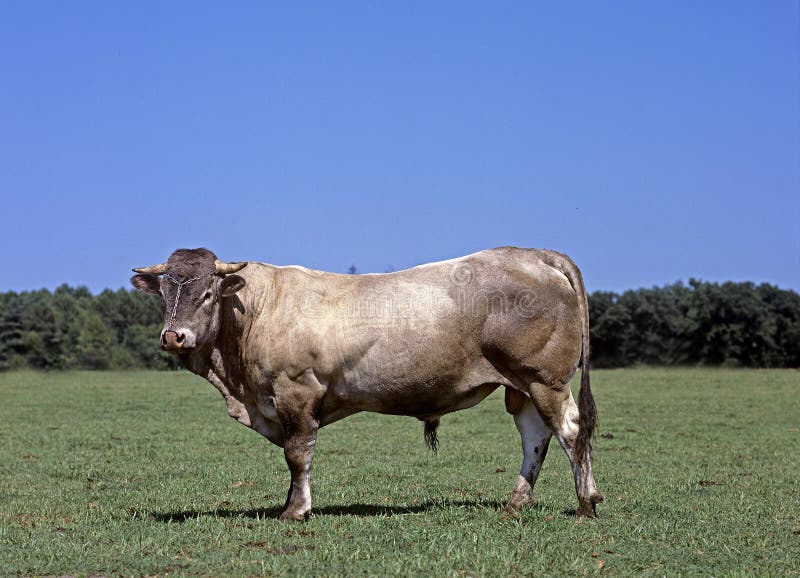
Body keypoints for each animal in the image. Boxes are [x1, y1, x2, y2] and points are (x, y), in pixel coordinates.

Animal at [131, 246, 603, 521]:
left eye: (208, 293)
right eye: (164, 294)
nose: (174, 336)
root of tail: (533, 254)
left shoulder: (295, 392)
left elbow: (297, 454)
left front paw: (295, 511)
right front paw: (288, 504)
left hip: (544, 379)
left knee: (570, 431)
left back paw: (586, 502)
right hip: (521, 387)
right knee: (535, 438)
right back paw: (516, 503)